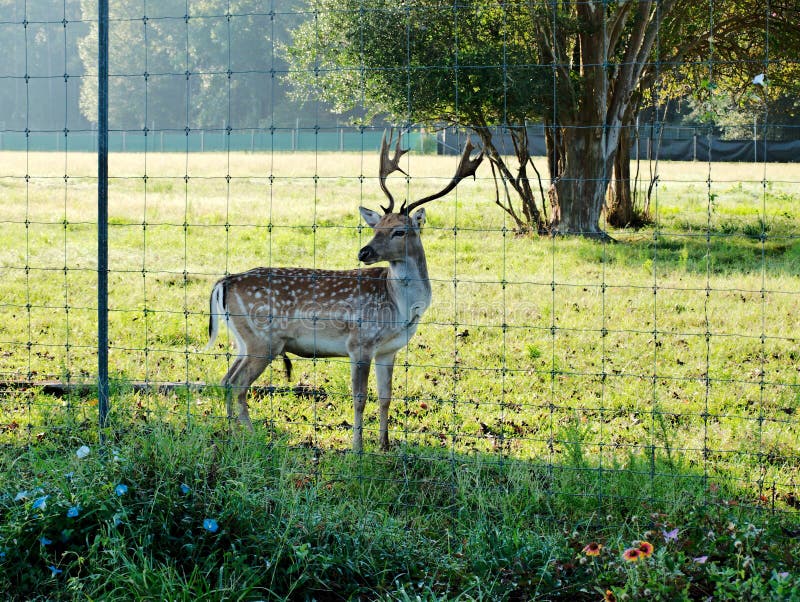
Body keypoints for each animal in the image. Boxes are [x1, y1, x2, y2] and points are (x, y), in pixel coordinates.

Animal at [205, 130, 483, 451]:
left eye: (399, 230)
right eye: (376, 227)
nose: (364, 252)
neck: (400, 307)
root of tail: (224, 282)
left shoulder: (389, 349)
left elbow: (386, 397)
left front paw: (384, 445)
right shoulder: (359, 341)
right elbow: (360, 398)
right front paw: (357, 449)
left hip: (244, 339)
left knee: (226, 379)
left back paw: (232, 433)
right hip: (263, 339)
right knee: (238, 385)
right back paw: (252, 437)